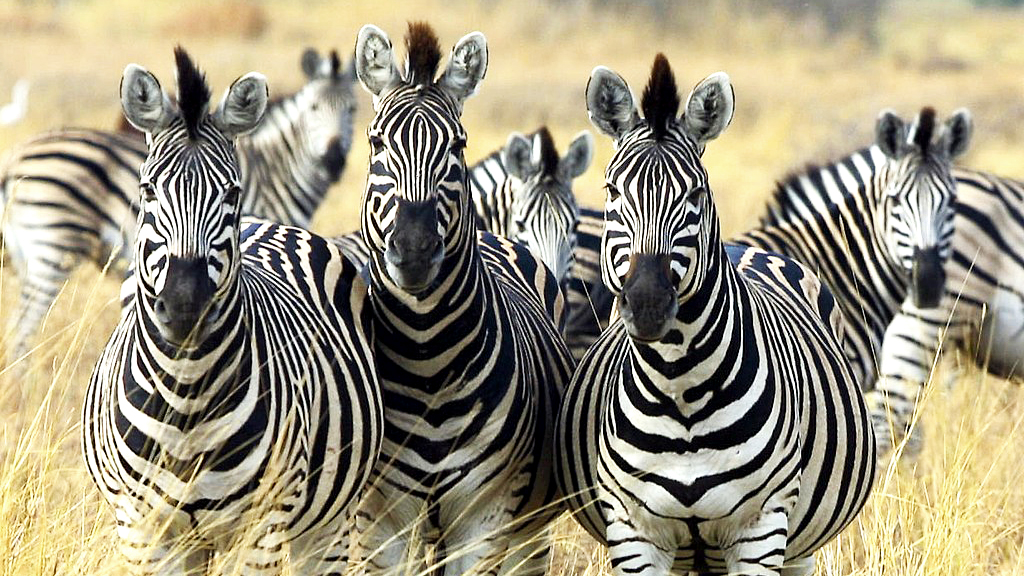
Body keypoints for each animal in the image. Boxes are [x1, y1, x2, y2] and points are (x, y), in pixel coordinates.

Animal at [0, 47, 357, 362]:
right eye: (314, 108)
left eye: (352, 110)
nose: (334, 161)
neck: (273, 170)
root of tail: (15, 158)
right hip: (53, 245)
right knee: (22, 329)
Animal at [81, 48, 382, 575]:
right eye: (148, 192)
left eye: (231, 194)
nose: (186, 306)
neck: (186, 397)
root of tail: (270, 225)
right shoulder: (142, 528)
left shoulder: (261, 528)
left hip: (327, 521)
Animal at [351, 22, 573, 576]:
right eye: (376, 142)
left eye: (458, 144)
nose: (413, 248)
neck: (427, 359)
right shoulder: (379, 521)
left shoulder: (485, 516)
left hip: (525, 525)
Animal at [555, 54, 876, 576]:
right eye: (612, 191)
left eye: (695, 197)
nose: (647, 304)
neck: (679, 388)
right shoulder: (633, 531)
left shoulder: (761, 528)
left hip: (799, 546)